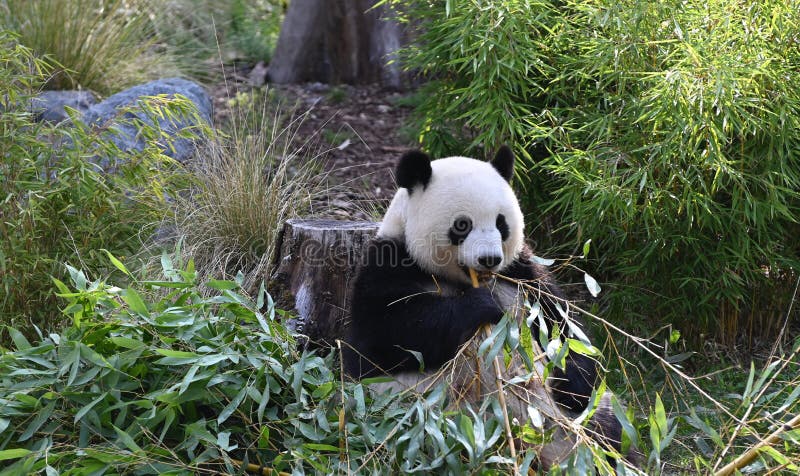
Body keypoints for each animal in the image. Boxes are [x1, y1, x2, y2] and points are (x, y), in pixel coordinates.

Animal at [342, 146, 624, 468]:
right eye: (462, 225)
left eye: (501, 223)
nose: (489, 259)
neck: (462, 280)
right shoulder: (386, 266)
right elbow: (387, 334)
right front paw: (480, 306)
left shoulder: (522, 274)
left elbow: (562, 326)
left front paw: (572, 379)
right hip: (426, 427)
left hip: (574, 420)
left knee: (607, 426)